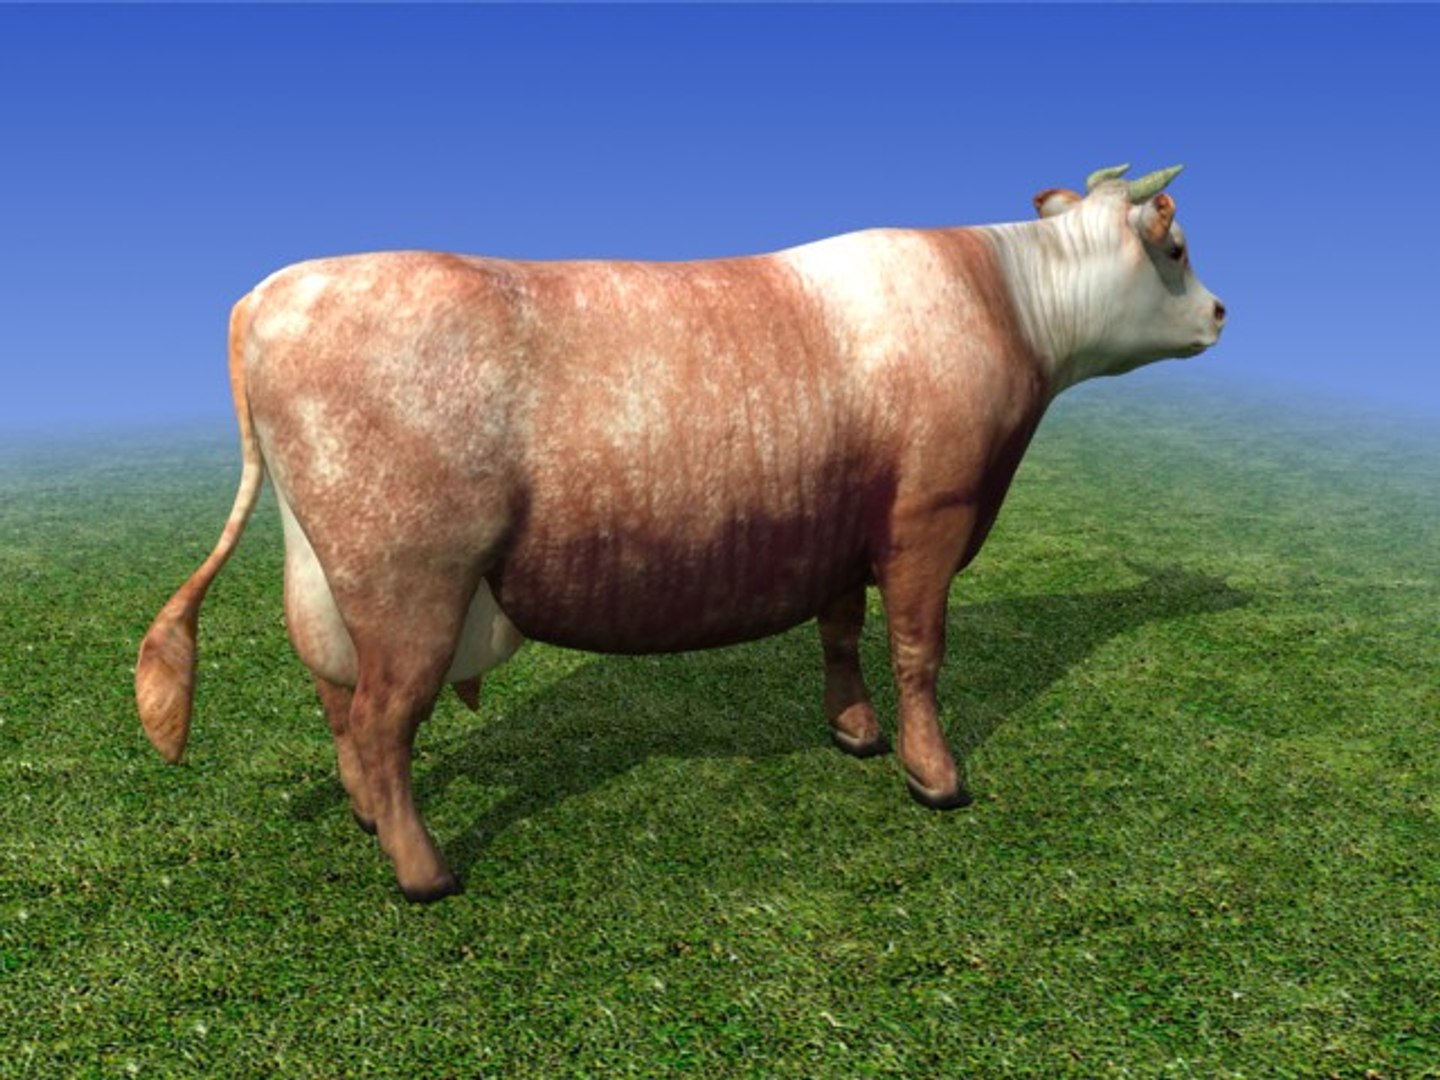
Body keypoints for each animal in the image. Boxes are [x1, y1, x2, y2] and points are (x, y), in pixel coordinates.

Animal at [137, 164, 1225, 902]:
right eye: (1175, 251)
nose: (1220, 310)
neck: (1007, 303)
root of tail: (268, 293)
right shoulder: (930, 515)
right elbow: (920, 650)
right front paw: (936, 777)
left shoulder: (840, 521)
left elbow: (841, 634)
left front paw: (855, 733)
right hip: (412, 580)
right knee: (380, 718)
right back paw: (423, 871)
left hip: (329, 567)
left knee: (336, 693)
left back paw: (368, 817)